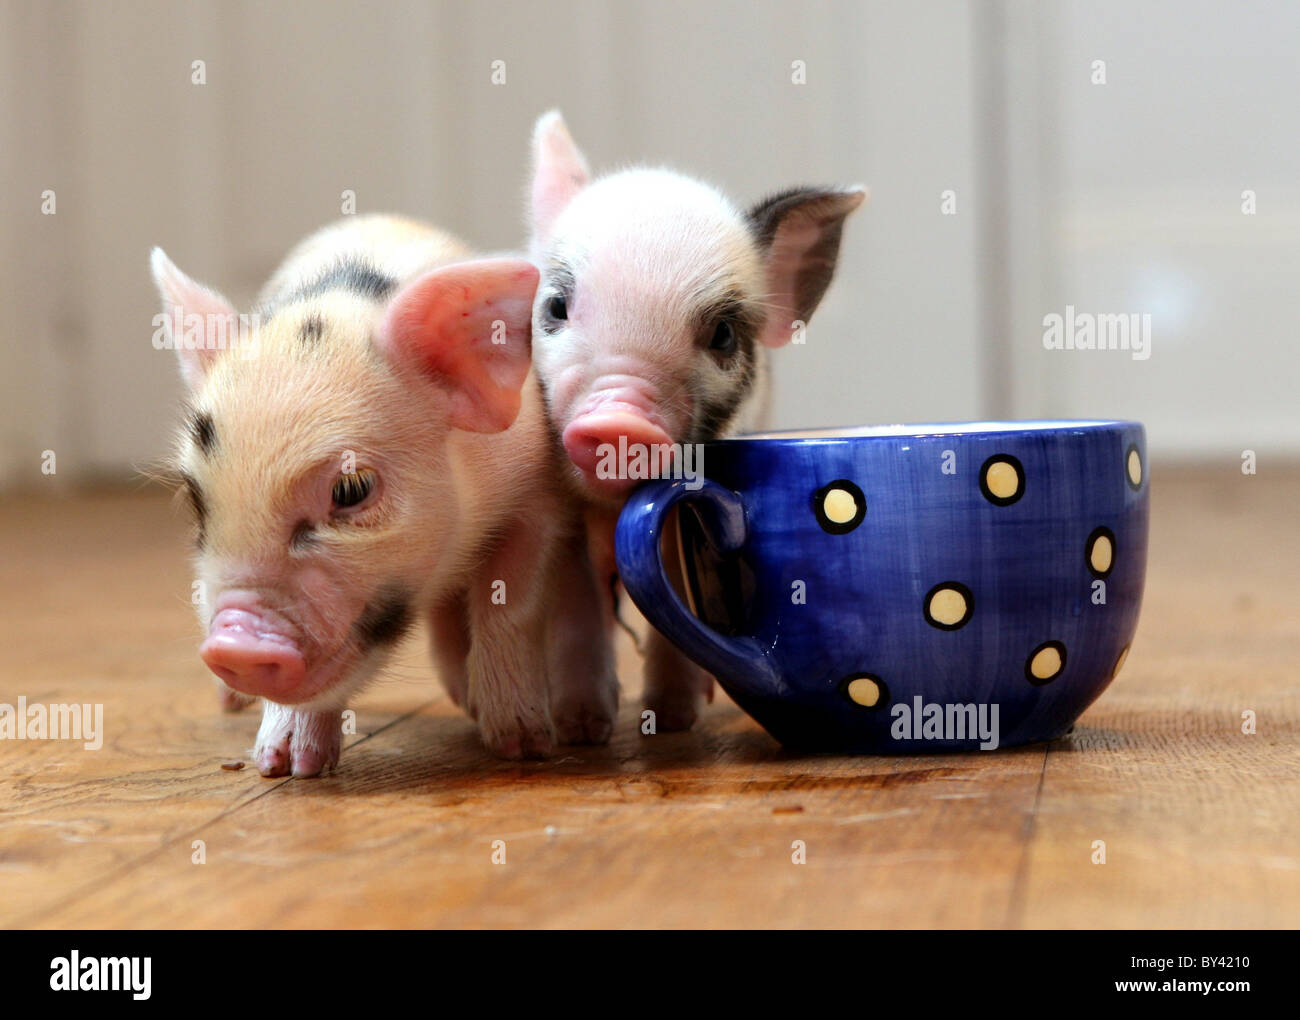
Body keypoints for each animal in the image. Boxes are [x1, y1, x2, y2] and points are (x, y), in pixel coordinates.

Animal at [153, 214, 608, 776]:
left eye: (352, 489)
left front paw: (523, 748)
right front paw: (287, 769)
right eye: (196, 500)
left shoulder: (536, 498)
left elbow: (509, 609)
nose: (232, 644)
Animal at [527, 111, 866, 731]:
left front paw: (672, 718)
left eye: (723, 335)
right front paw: (582, 728)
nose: (620, 418)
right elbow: (577, 607)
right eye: (557, 308)